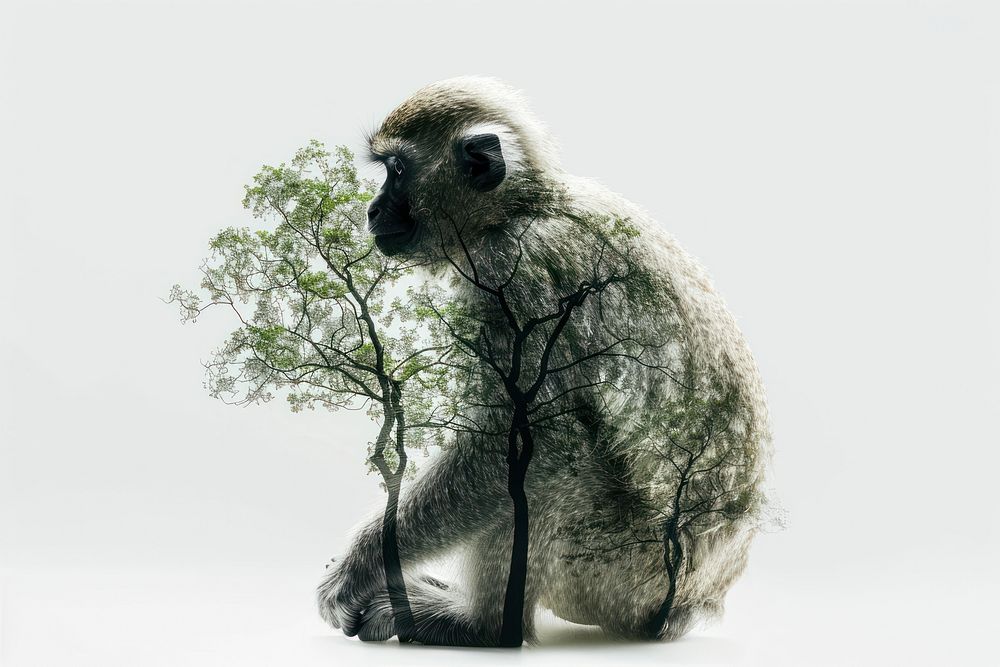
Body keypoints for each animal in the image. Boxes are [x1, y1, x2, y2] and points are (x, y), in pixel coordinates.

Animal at [317, 77, 771, 646]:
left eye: (396, 171)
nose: (373, 210)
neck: (522, 209)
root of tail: (691, 604)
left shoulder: (515, 274)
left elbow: (527, 440)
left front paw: (360, 567)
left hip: (614, 569)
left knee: (547, 464)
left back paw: (483, 625)